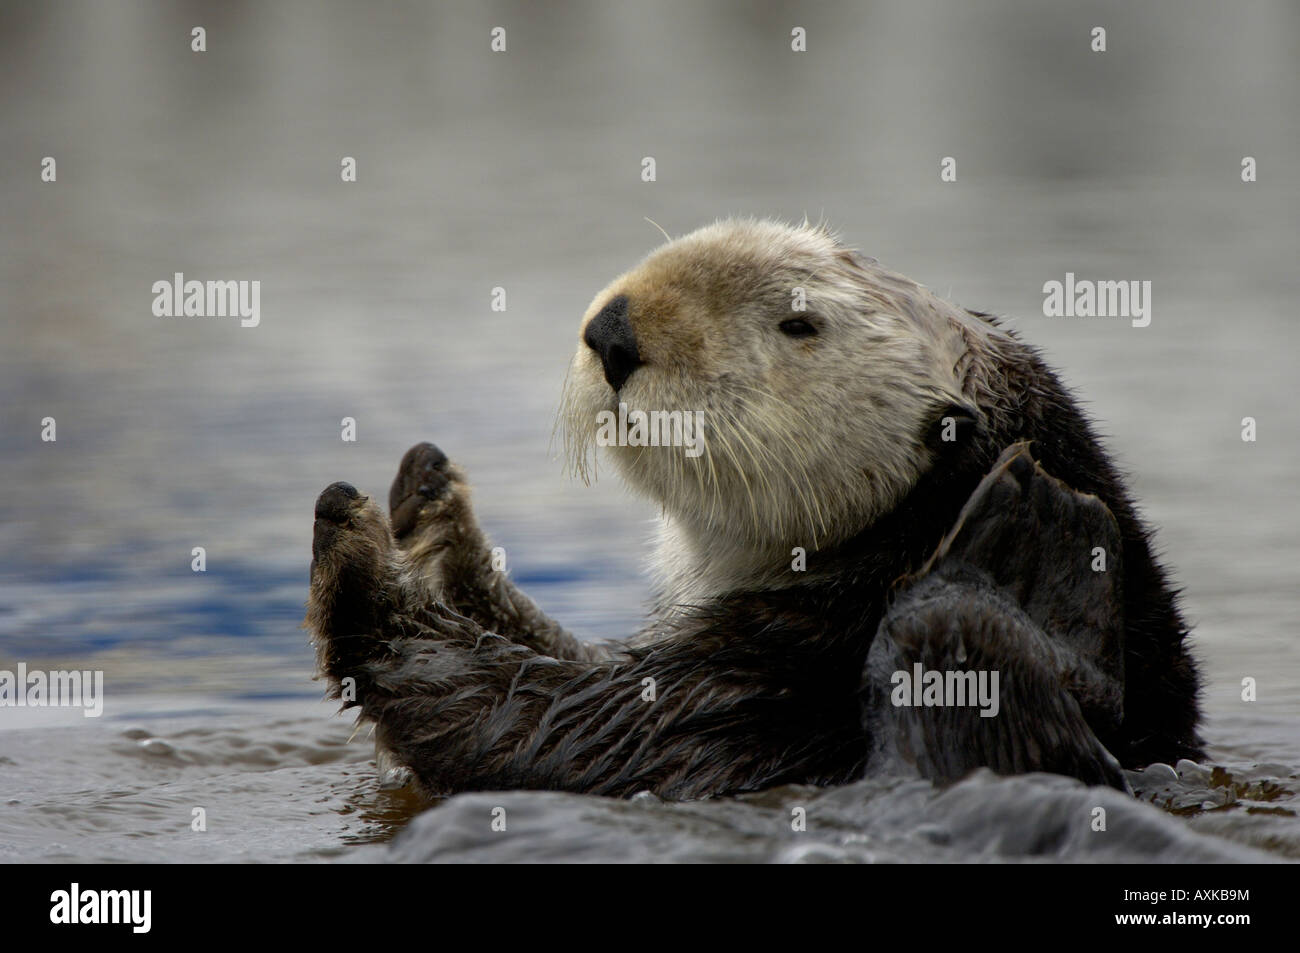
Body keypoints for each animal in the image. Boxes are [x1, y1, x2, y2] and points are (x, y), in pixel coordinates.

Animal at [305, 219, 1202, 799]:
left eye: (800, 322)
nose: (613, 330)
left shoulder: (775, 682)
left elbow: (565, 733)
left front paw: (357, 554)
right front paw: (434, 509)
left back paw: (1034, 536)